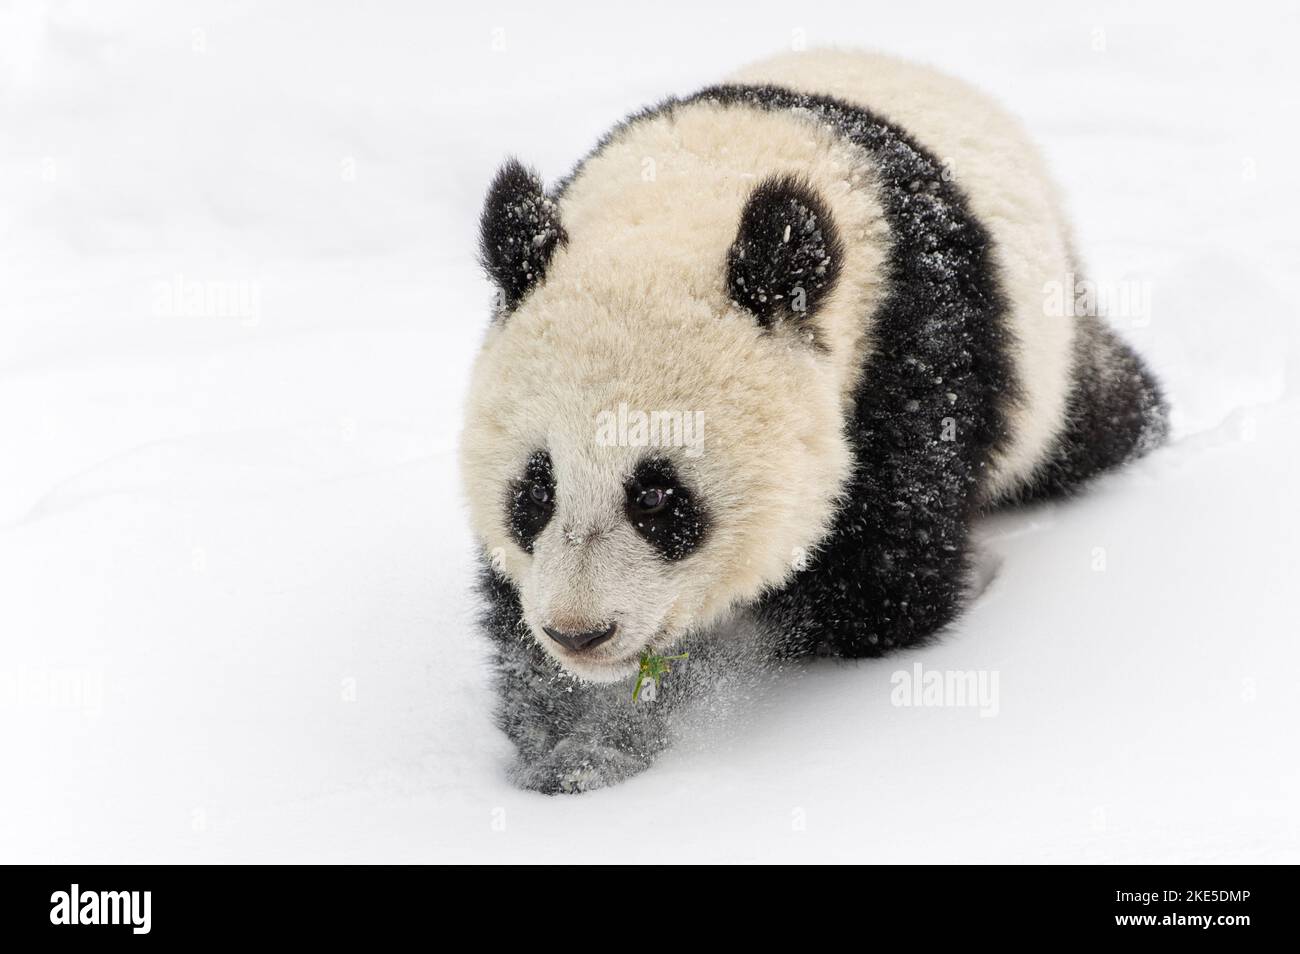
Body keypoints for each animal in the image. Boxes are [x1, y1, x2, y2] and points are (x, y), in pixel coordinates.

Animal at [460, 50, 1167, 794]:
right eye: (535, 490)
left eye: (656, 496)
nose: (580, 632)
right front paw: (582, 750)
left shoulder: (913, 366)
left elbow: (878, 595)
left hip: (1046, 358)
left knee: (1092, 420)